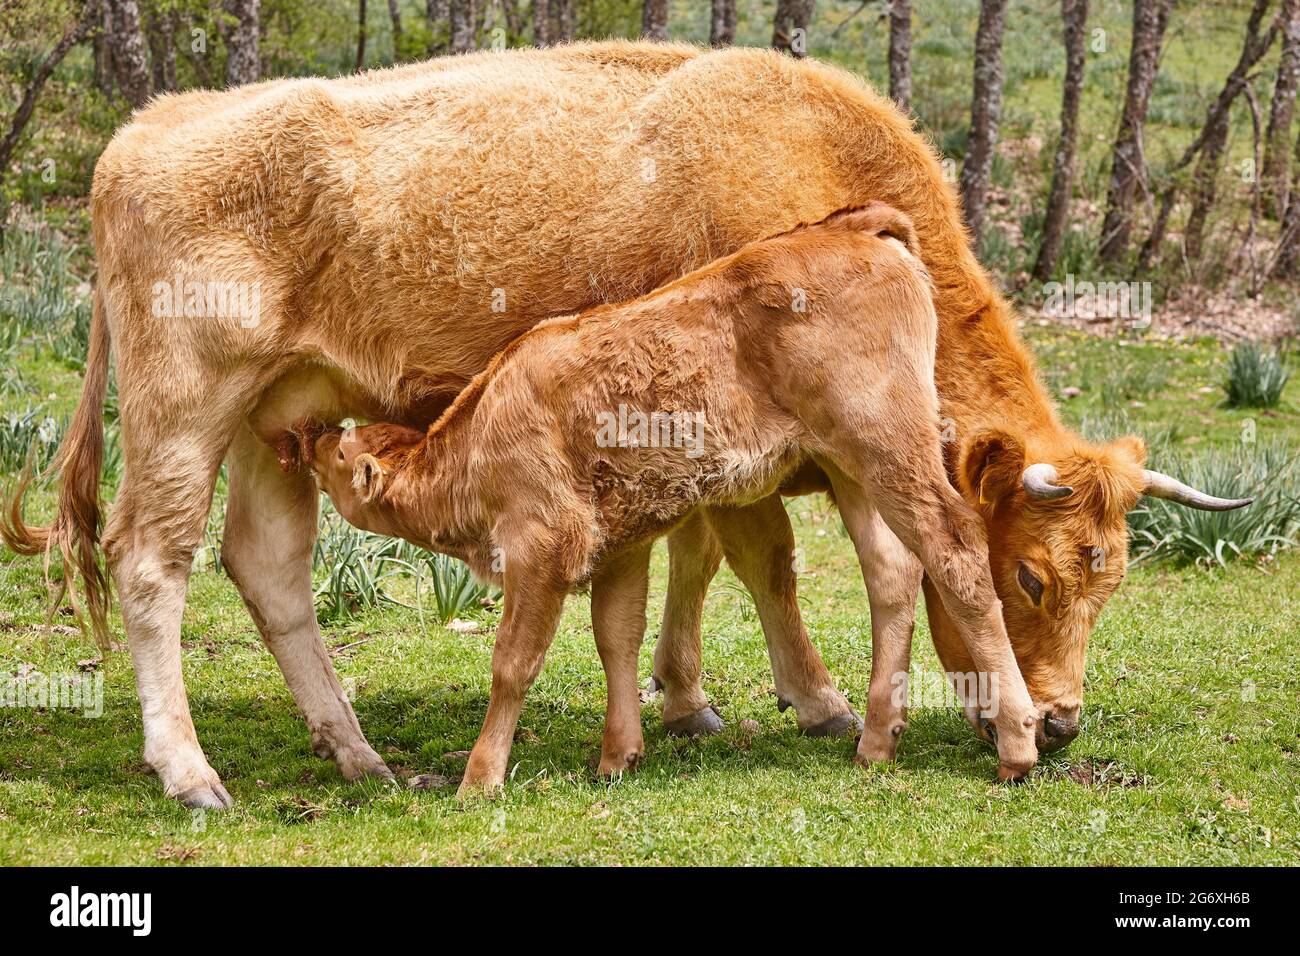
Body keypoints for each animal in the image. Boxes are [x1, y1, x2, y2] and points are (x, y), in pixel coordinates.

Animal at [293, 204, 1049, 794]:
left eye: (342, 454)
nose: (308, 434)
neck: (484, 430)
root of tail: (853, 229)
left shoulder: (541, 547)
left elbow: (513, 662)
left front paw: (480, 780)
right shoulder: (619, 545)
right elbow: (616, 636)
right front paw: (617, 757)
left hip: (891, 449)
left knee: (955, 552)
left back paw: (1016, 744)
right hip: (855, 471)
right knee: (893, 571)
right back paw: (874, 743)